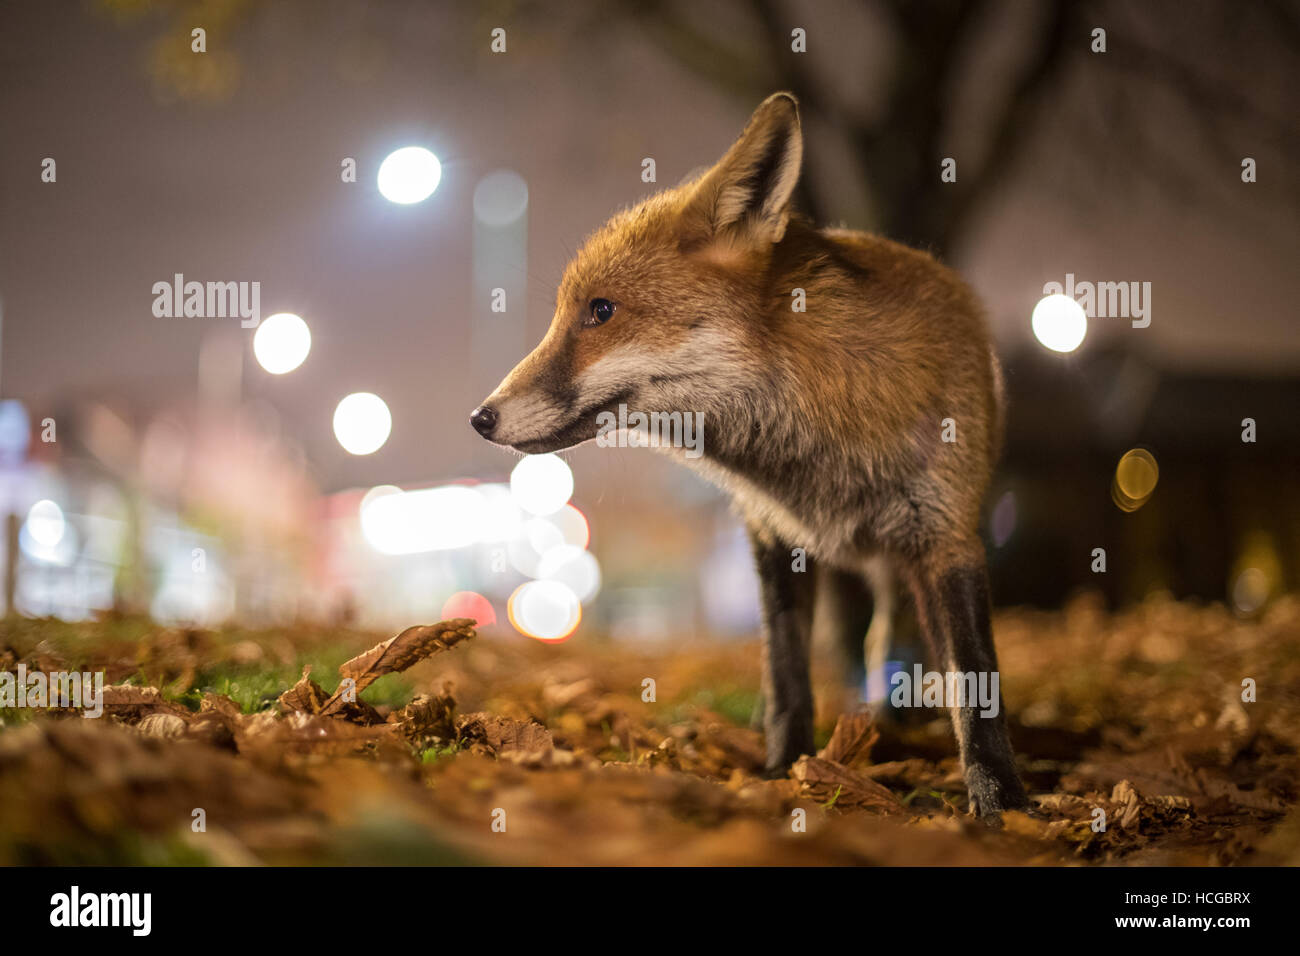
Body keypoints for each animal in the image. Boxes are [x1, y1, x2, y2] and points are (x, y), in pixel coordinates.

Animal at [470, 93, 1029, 817]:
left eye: (600, 311)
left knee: (886, 637)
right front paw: (784, 767)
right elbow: (786, 671)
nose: (480, 418)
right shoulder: (773, 536)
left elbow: (975, 679)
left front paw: (1001, 802)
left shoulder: (947, 534)